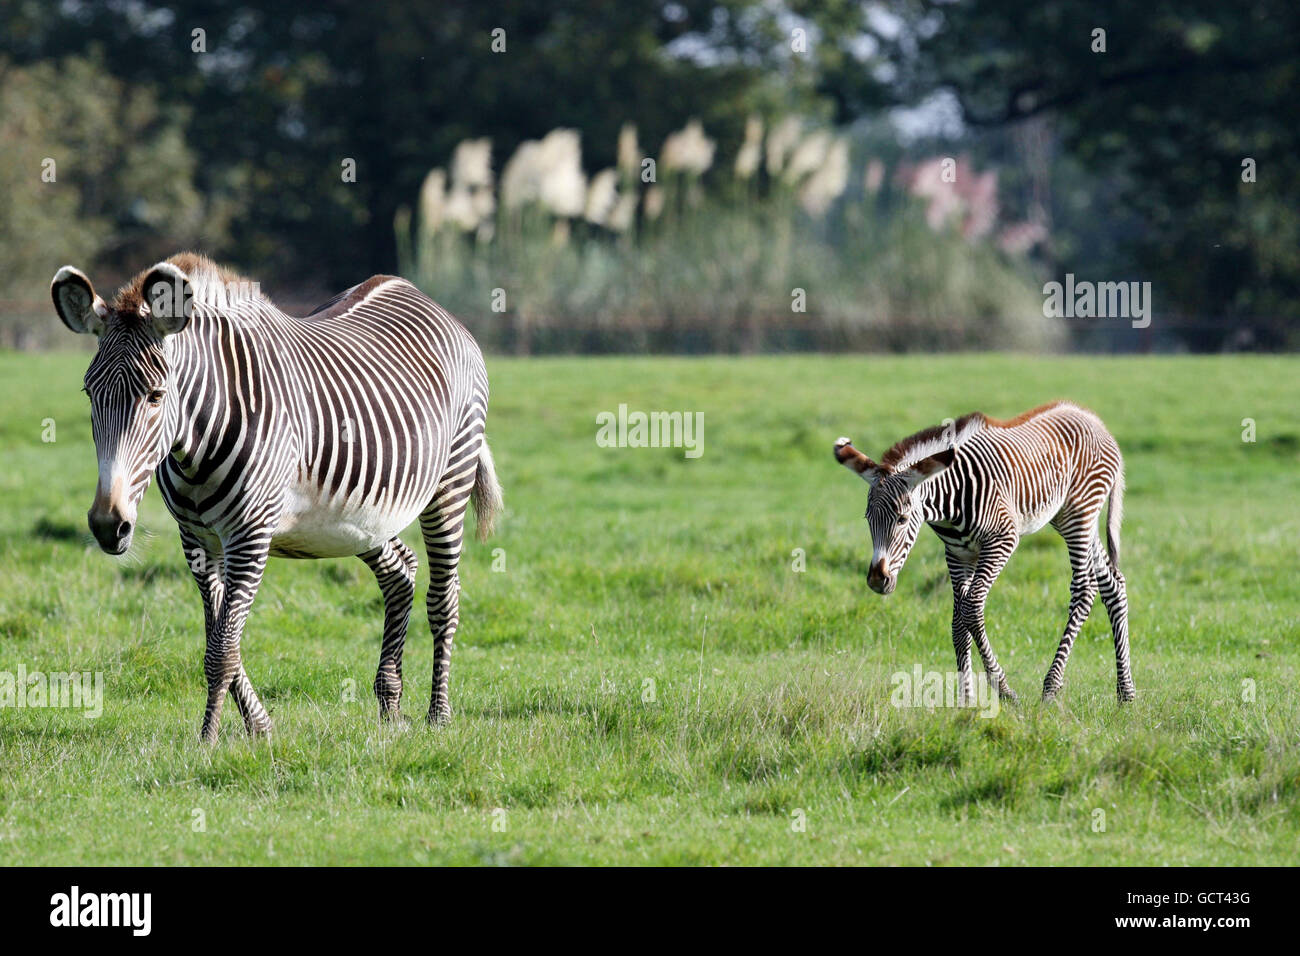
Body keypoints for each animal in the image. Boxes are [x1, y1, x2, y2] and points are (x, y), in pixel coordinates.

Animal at [52, 253, 503, 742]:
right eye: (90, 393)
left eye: (155, 396)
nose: (106, 525)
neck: (197, 441)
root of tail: (423, 298)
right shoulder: (196, 541)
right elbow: (220, 640)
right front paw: (259, 726)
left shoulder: (249, 537)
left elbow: (222, 650)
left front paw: (208, 739)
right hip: (359, 518)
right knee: (400, 571)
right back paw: (390, 705)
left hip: (451, 480)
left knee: (444, 600)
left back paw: (438, 715)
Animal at [832, 401, 1134, 704]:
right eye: (868, 519)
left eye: (902, 519)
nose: (876, 580)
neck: (950, 500)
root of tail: (1091, 418)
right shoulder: (957, 553)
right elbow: (957, 621)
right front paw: (966, 700)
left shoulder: (1002, 541)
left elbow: (971, 608)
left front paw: (1004, 689)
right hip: (1068, 517)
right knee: (1113, 583)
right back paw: (1125, 692)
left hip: (1079, 513)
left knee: (1083, 590)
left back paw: (1052, 686)